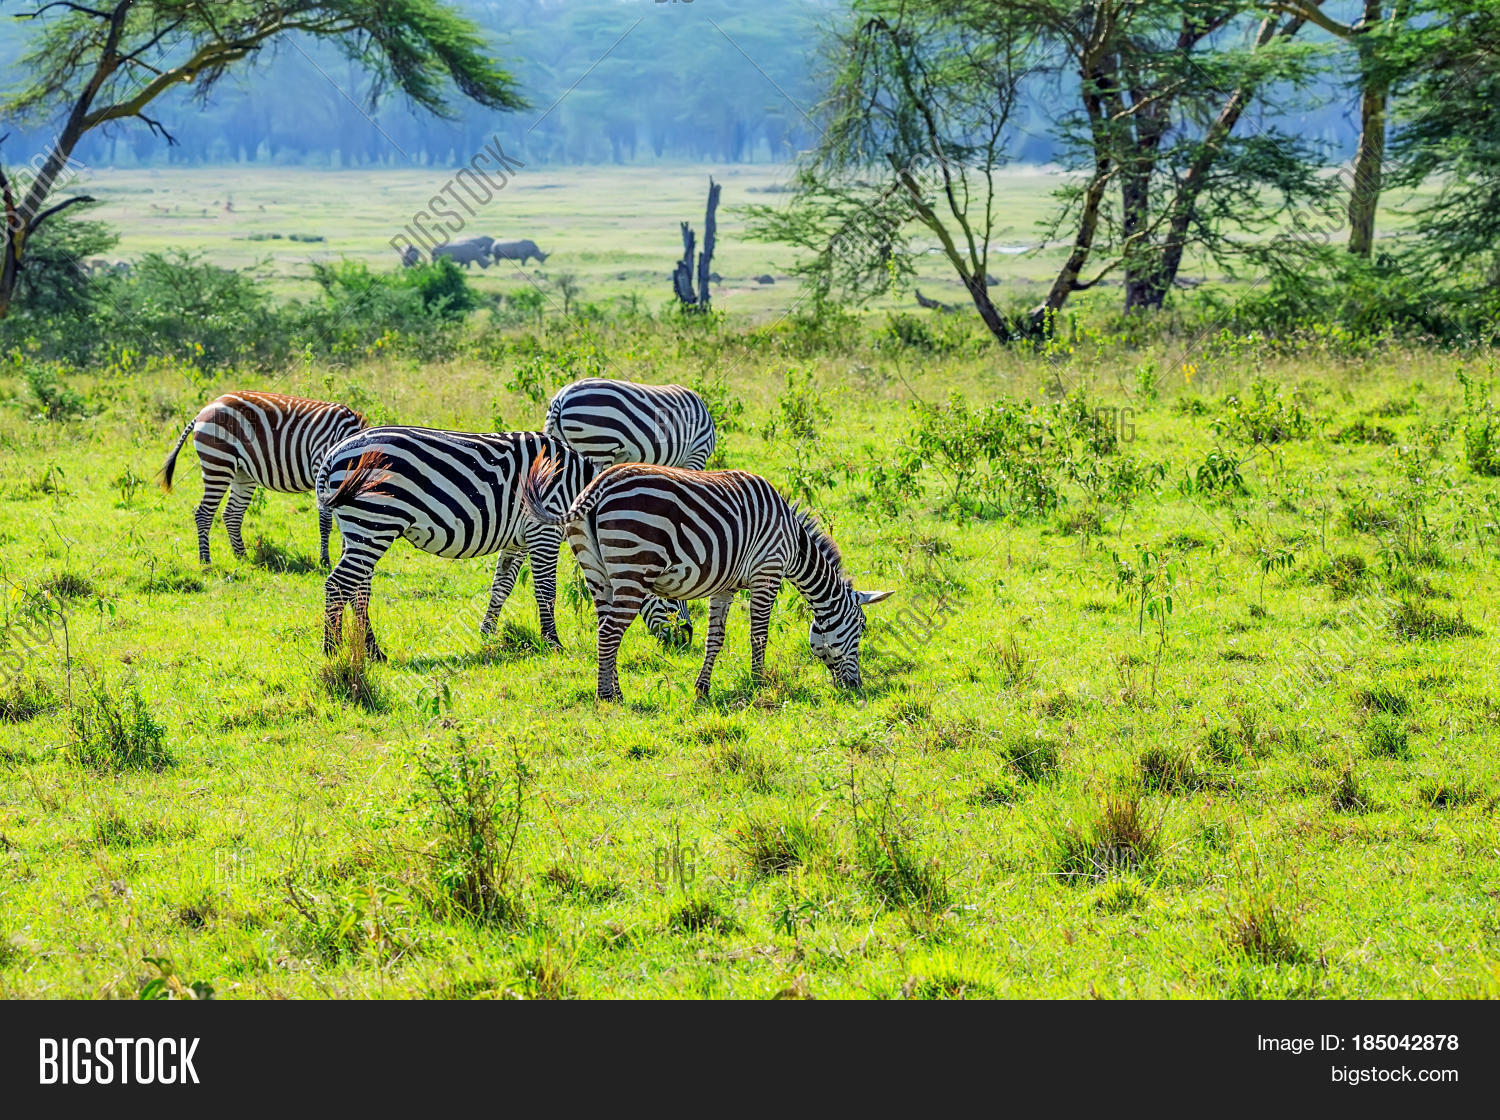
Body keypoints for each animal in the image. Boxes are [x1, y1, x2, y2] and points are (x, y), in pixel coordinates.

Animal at [159, 391, 366, 567]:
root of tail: (207, 407)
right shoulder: (321, 473)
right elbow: (326, 522)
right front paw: (326, 561)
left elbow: (343, 522)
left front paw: (343, 556)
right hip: (218, 462)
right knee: (204, 513)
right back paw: (205, 561)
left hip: (243, 472)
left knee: (232, 513)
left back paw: (241, 557)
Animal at [313, 428, 681, 661]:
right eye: (670, 598)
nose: (684, 639)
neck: (576, 487)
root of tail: (334, 453)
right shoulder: (543, 531)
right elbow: (546, 590)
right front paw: (553, 643)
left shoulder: (518, 539)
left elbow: (501, 586)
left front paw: (486, 633)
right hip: (374, 523)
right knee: (338, 584)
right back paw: (332, 653)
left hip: (359, 528)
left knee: (358, 589)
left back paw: (373, 651)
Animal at [521, 457, 893, 701]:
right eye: (860, 628)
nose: (856, 687)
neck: (794, 545)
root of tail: (598, 486)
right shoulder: (767, 572)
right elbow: (759, 635)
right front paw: (759, 684)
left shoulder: (726, 586)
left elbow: (715, 638)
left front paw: (702, 689)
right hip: (633, 566)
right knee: (611, 631)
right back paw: (607, 697)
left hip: (597, 573)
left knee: (603, 628)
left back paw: (616, 689)